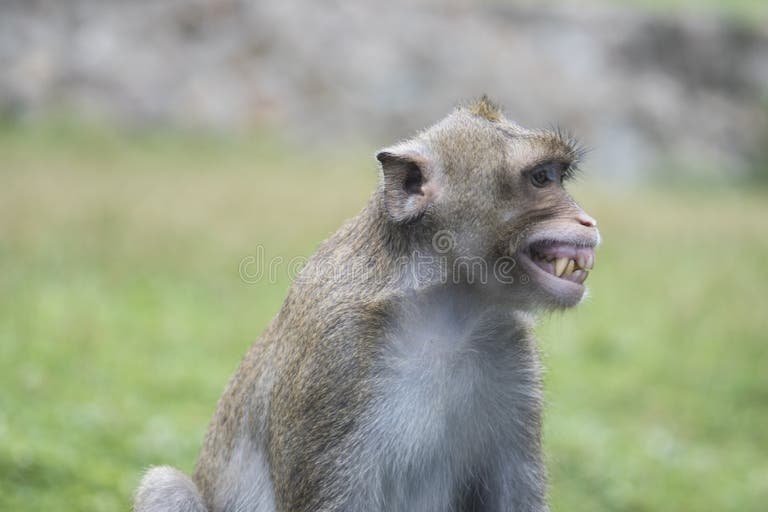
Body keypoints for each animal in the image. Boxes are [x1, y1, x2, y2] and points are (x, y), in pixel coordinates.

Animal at [134, 96, 600, 512]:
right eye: (541, 178)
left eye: (557, 176)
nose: (588, 221)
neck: (445, 308)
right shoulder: (337, 355)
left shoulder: (510, 349)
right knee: (165, 486)